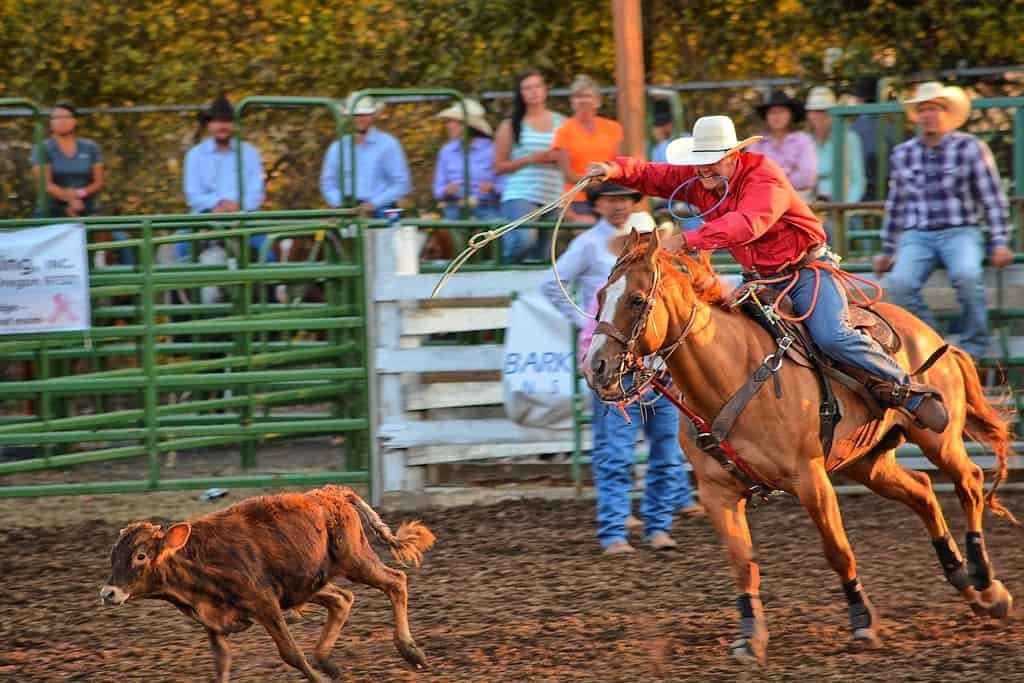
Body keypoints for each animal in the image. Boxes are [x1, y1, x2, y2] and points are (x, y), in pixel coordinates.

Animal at [100, 485, 435, 682]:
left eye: (140, 555)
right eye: (113, 555)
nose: (108, 593)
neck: (196, 560)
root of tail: (332, 493)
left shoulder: (265, 604)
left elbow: (291, 653)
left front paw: (317, 679)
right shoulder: (214, 620)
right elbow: (222, 665)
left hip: (356, 560)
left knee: (395, 582)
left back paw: (411, 651)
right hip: (309, 584)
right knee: (343, 599)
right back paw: (327, 661)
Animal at [584, 228, 1015, 664]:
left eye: (636, 299)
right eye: (600, 296)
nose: (594, 367)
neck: (732, 373)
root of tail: (932, 335)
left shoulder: (810, 479)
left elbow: (837, 551)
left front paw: (862, 621)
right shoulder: (716, 492)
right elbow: (742, 562)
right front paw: (750, 636)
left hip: (937, 440)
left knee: (969, 481)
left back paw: (986, 582)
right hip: (867, 462)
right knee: (924, 491)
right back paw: (965, 581)